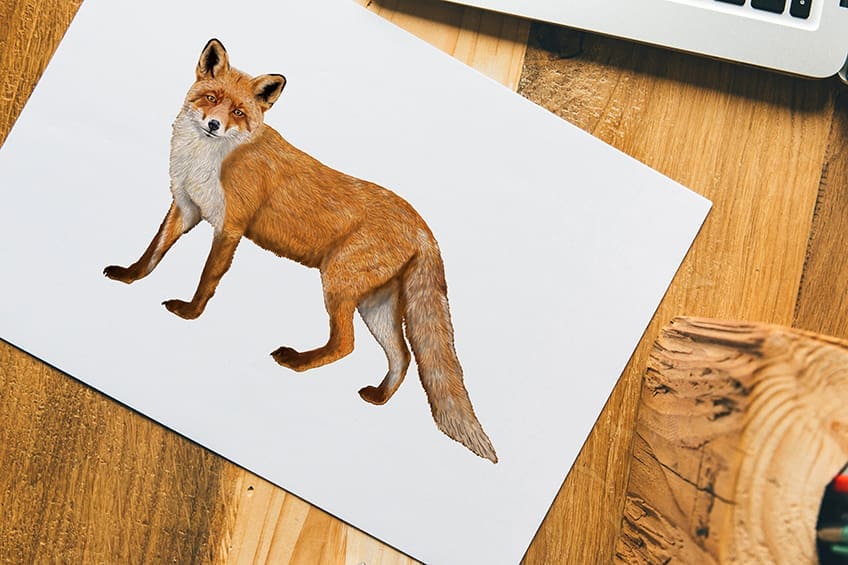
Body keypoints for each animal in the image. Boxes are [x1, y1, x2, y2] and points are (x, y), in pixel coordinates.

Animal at [103, 39, 497, 463]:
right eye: (211, 98)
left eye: (238, 112)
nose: (213, 125)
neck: (209, 159)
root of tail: (424, 226)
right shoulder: (187, 208)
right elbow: (153, 252)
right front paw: (128, 277)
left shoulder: (230, 226)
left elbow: (207, 277)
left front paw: (189, 313)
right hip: (374, 304)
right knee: (402, 356)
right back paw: (377, 397)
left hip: (338, 282)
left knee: (346, 345)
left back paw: (296, 362)